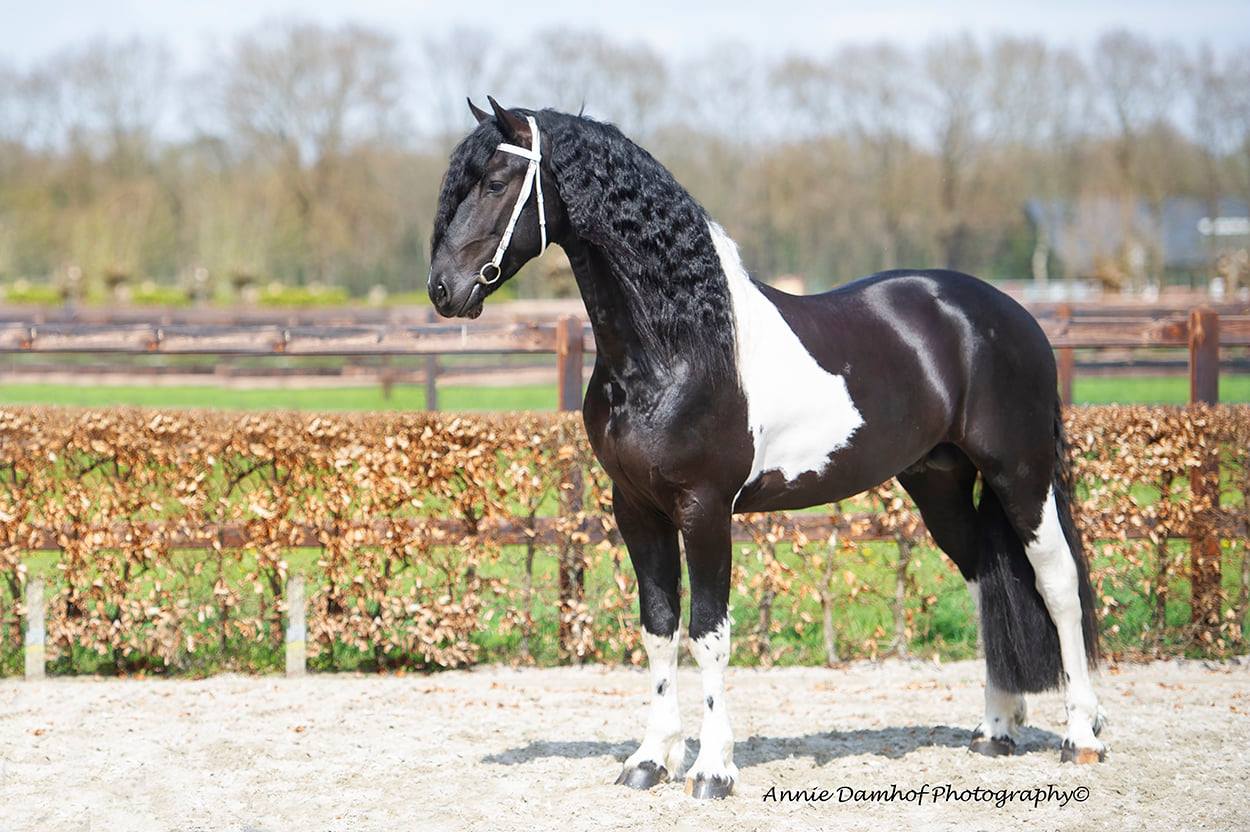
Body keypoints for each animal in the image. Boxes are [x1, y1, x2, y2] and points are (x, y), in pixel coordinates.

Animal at [427, 98, 1105, 799]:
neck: (681, 346)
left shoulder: (704, 510)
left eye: (496, 184)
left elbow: (709, 634)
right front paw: (650, 759)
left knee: (1057, 581)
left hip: (1020, 474)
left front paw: (712, 769)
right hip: (939, 483)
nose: (443, 289)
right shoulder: (635, 509)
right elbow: (659, 628)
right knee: (984, 578)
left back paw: (1081, 736)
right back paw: (994, 729)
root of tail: (1008, 314)